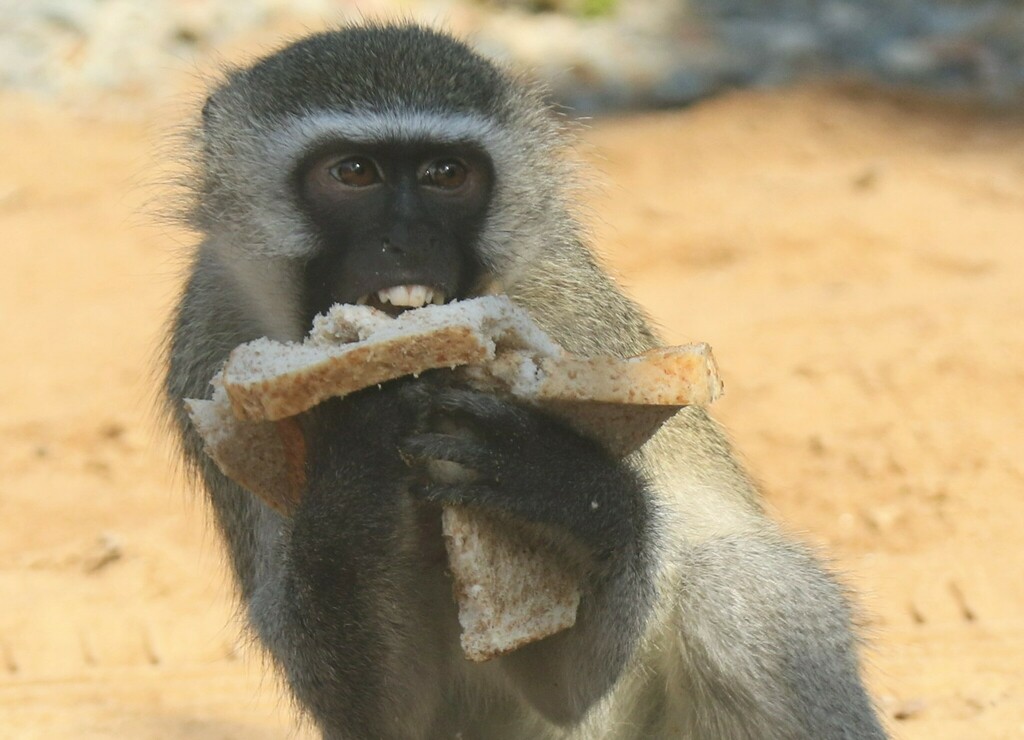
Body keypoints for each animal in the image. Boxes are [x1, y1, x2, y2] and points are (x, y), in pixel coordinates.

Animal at [163, 22, 887, 740]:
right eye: (354, 173)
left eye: (446, 174)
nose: (409, 239)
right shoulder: (210, 340)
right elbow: (382, 710)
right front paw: (360, 430)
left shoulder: (564, 316)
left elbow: (568, 685)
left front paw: (562, 480)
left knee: (741, 590)